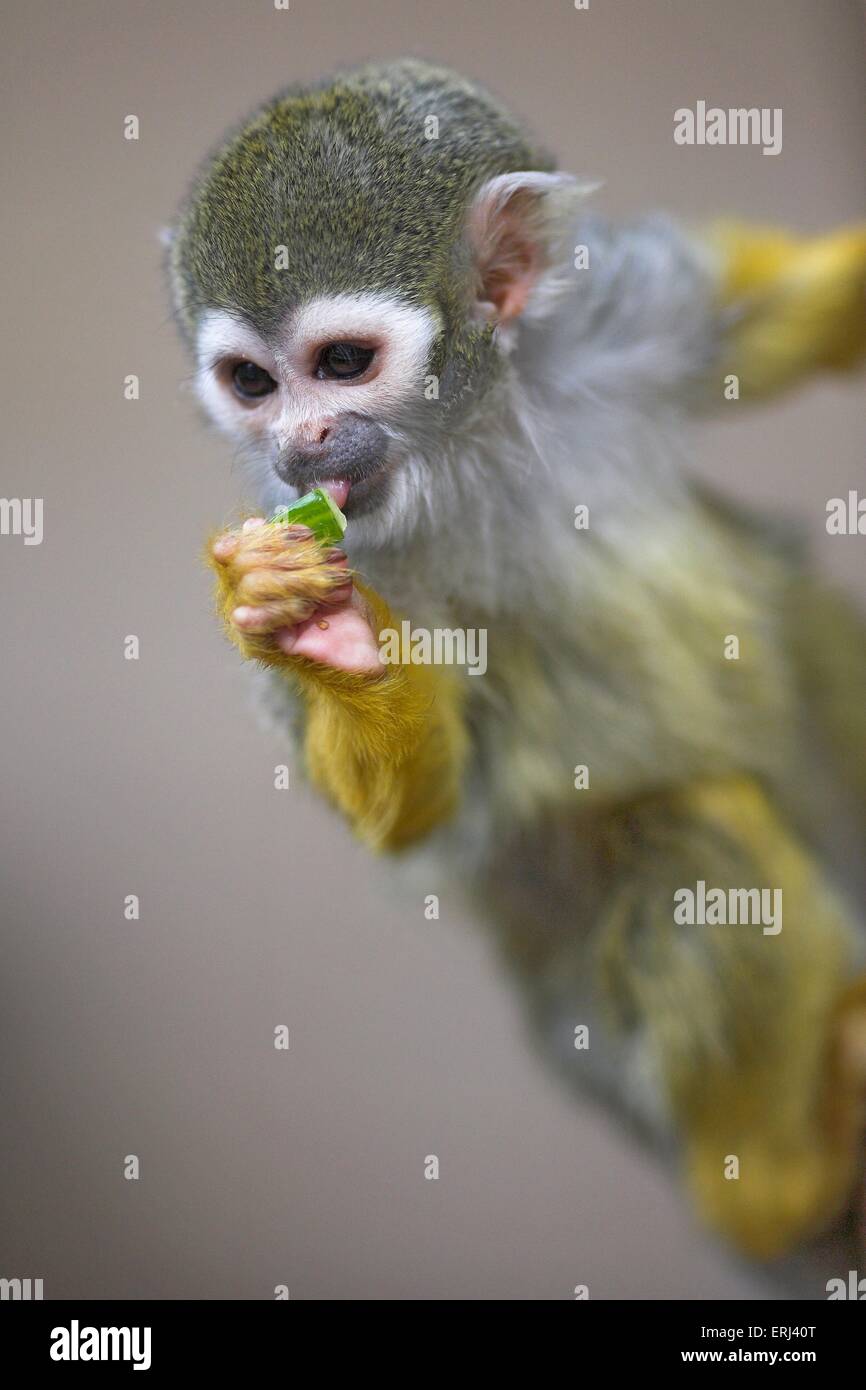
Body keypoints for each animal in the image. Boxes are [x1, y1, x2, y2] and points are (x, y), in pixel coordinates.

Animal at [168, 59, 866, 1281]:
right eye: (250, 382)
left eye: (340, 364)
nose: (300, 446)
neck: (467, 434)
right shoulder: (323, 530)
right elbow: (423, 812)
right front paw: (325, 644)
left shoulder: (608, 319)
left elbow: (785, 317)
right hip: (589, 1032)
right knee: (695, 839)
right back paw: (767, 1189)